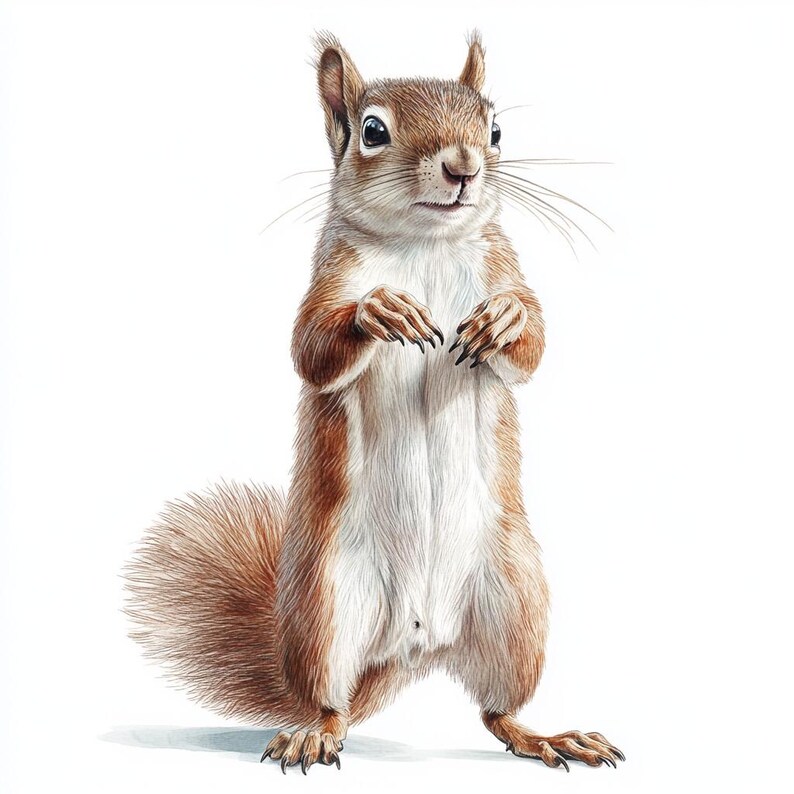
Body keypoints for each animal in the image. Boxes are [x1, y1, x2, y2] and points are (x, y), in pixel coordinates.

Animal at [125, 32, 624, 774]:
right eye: (373, 131)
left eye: (495, 130)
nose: (463, 167)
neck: (425, 243)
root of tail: (416, 647)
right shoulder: (329, 279)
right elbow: (311, 347)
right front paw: (380, 311)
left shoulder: (504, 267)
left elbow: (533, 347)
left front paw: (504, 321)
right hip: (327, 609)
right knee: (330, 700)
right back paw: (315, 732)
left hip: (517, 605)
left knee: (497, 711)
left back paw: (545, 735)